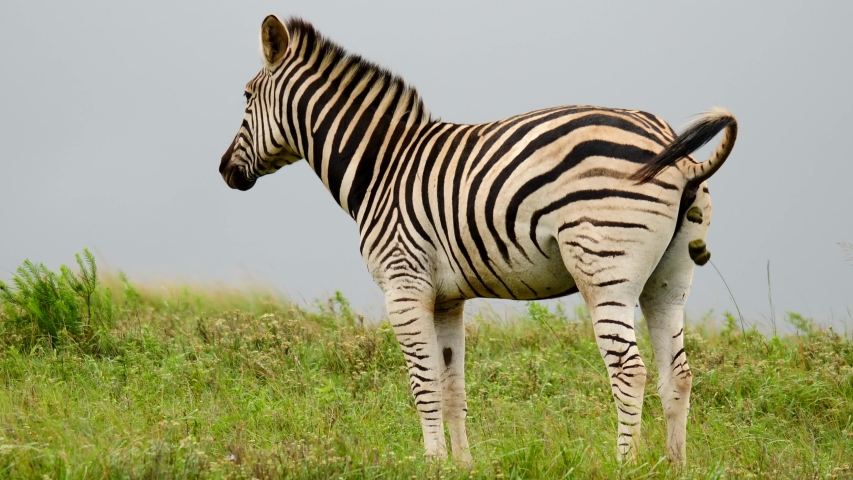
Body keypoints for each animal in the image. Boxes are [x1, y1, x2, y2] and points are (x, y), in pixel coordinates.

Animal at [219, 15, 737, 466]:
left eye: (245, 98)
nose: (224, 171)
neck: (382, 169)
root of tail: (677, 152)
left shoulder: (404, 285)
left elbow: (423, 384)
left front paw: (431, 462)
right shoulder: (447, 298)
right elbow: (453, 387)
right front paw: (461, 464)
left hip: (605, 267)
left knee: (629, 370)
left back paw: (623, 463)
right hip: (668, 278)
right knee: (678, 374)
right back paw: (675, 464)